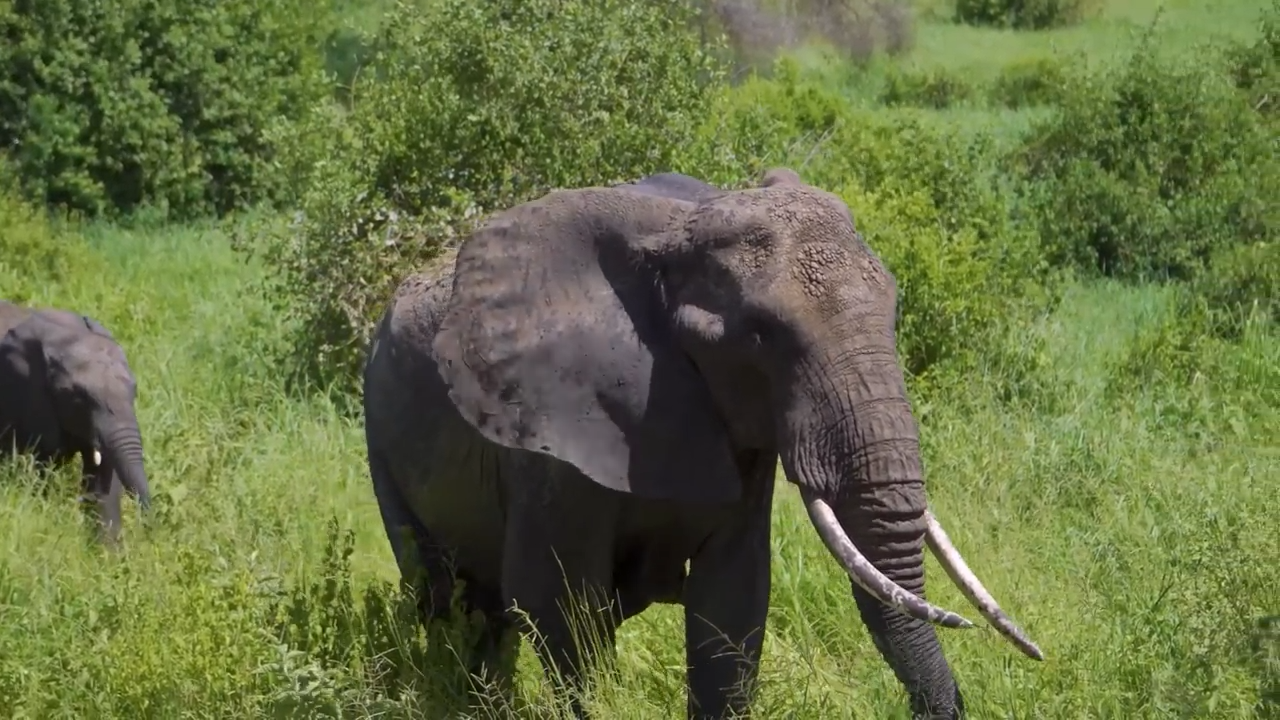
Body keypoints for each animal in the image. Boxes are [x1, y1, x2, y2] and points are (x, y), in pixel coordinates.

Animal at [0, 300, 152, 544]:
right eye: (78, 397)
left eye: (134, 391)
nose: (150, 526)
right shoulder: (27, 396)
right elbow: (40, 466)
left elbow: (105, 479)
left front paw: (108, 553)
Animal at [361, 168, 1043, 720]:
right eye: (761, 336)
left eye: (895, 311)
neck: (675, 236)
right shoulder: (550, 437)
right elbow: (560, 602)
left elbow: (732, 600)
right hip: (379, 431)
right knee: (442, 596)